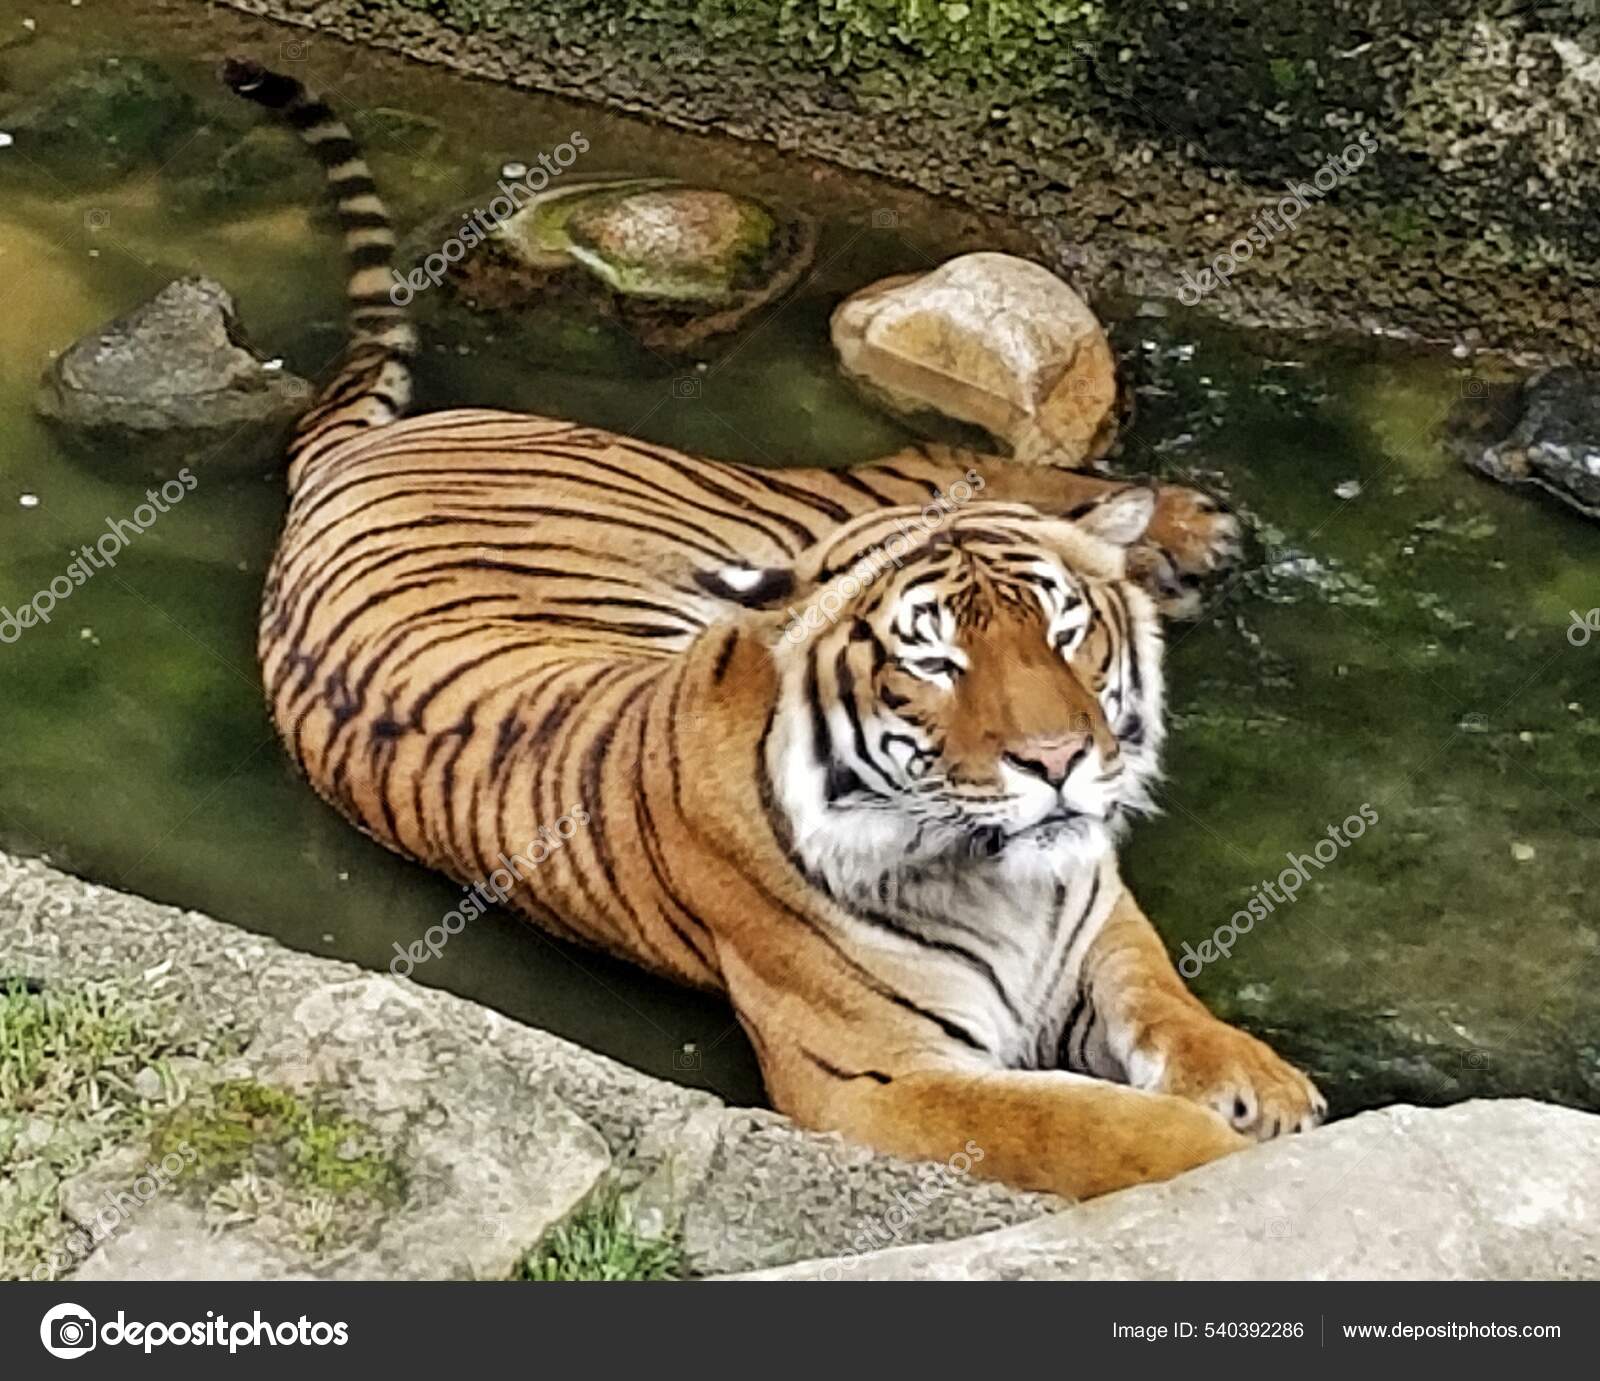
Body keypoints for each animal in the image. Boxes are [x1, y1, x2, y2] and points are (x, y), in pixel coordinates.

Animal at [222, 57, 1324, 1202]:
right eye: (933, 662)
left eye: (1067, 635)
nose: (1060, 762)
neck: (996, 877)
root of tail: (345, 454)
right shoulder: (877, 1082)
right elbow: (1093, 1129)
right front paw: (1233, 1162)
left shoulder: (1092, 917)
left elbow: (1160, 993)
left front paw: (1260, 1084)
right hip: (786, 508)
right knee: (938, 460)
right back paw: (1185, 531)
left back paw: (1179, 533)